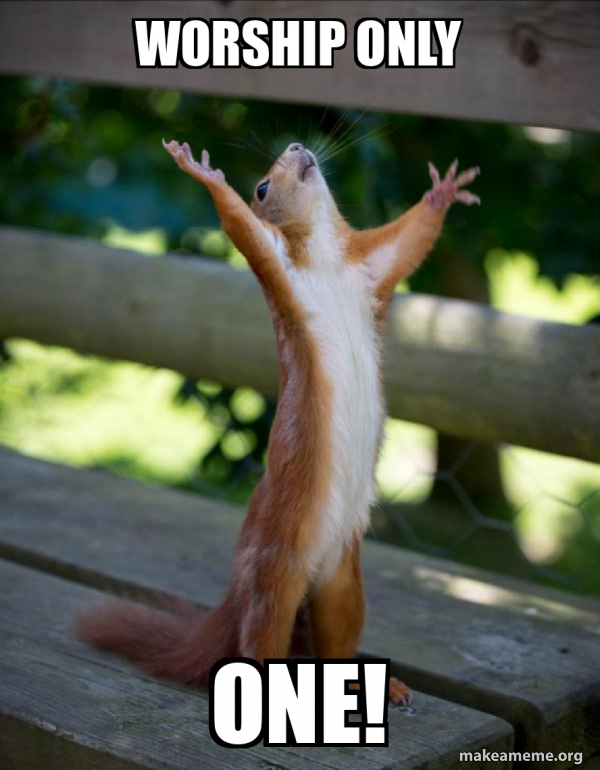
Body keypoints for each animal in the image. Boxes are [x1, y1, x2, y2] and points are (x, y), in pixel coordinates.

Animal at [77, 138, 479, 706]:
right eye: (262, 187)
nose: (296, 146)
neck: (327, 260)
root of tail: (238, 589)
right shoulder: (277, 265)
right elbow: (240, 226)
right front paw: (203, 173)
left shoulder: (372, 267)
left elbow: (410, 239)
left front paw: (442, 191)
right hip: (274, 577)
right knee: (261, 643)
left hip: (344, 587)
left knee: (336, 644)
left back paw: (378, 685)